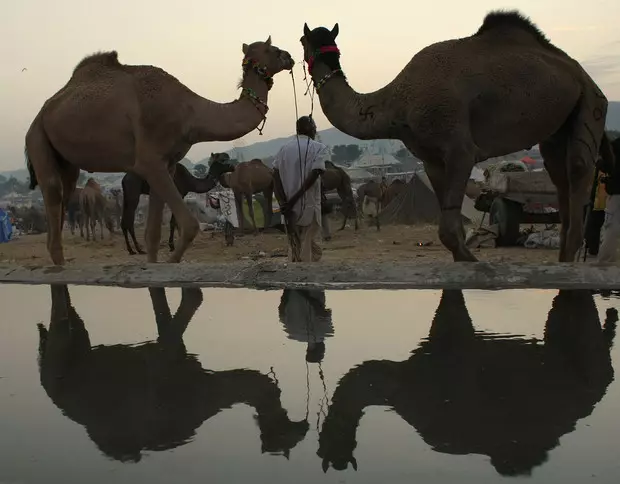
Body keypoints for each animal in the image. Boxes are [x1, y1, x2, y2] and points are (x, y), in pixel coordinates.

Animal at [24, 37, 296, 264]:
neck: (189, 112)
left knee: (64, 195)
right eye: (272, 49)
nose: (289, 56)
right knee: (53, 190)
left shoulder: (168, 164)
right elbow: (189, 225)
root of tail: (43, 111)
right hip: (36, 136)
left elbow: (153, 234)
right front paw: (171, 261)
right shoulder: (150, 161)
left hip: (66, 161)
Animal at [37, 286, 310, 464]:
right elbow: (189, 302)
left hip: (79, 347)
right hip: (59, 367)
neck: (210, 391)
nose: (305, 427)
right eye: (286, 437)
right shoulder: (164, 364)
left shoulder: (180, 356)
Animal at [302, 10, 616, 260]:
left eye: (303, 41)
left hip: (592, 103)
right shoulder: (431, 160)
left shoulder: (460, 149)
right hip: (557, 128)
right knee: (560, 179)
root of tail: (581, 74)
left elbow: (449, 232)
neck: (398, 103)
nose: (302, 56)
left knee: (578, 169)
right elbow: (452, 231)